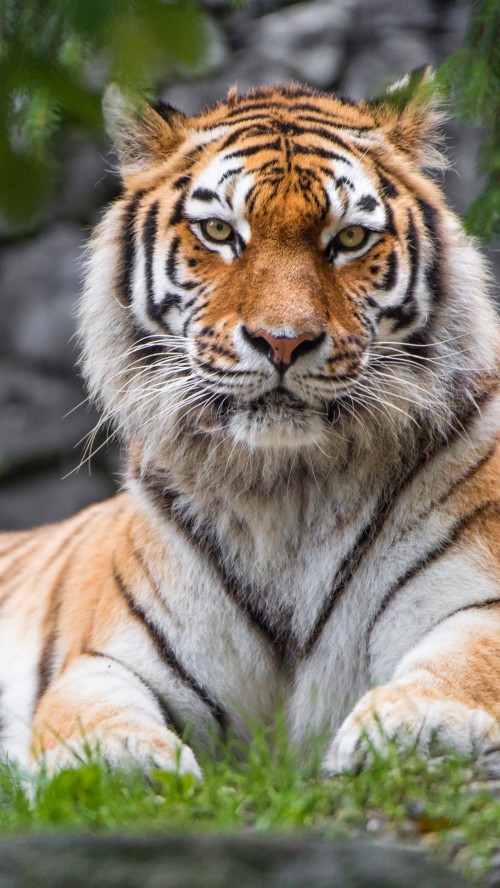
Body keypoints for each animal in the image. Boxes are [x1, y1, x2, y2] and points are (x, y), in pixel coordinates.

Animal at [1, 75, 500, 780]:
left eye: (349, 239)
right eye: (218, 231)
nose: (283, 341)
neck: (284, 491)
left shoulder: (477, 600)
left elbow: (467, 665)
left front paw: (420, 726)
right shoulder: (110, 659)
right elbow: (90, 717)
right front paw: (121, 763)